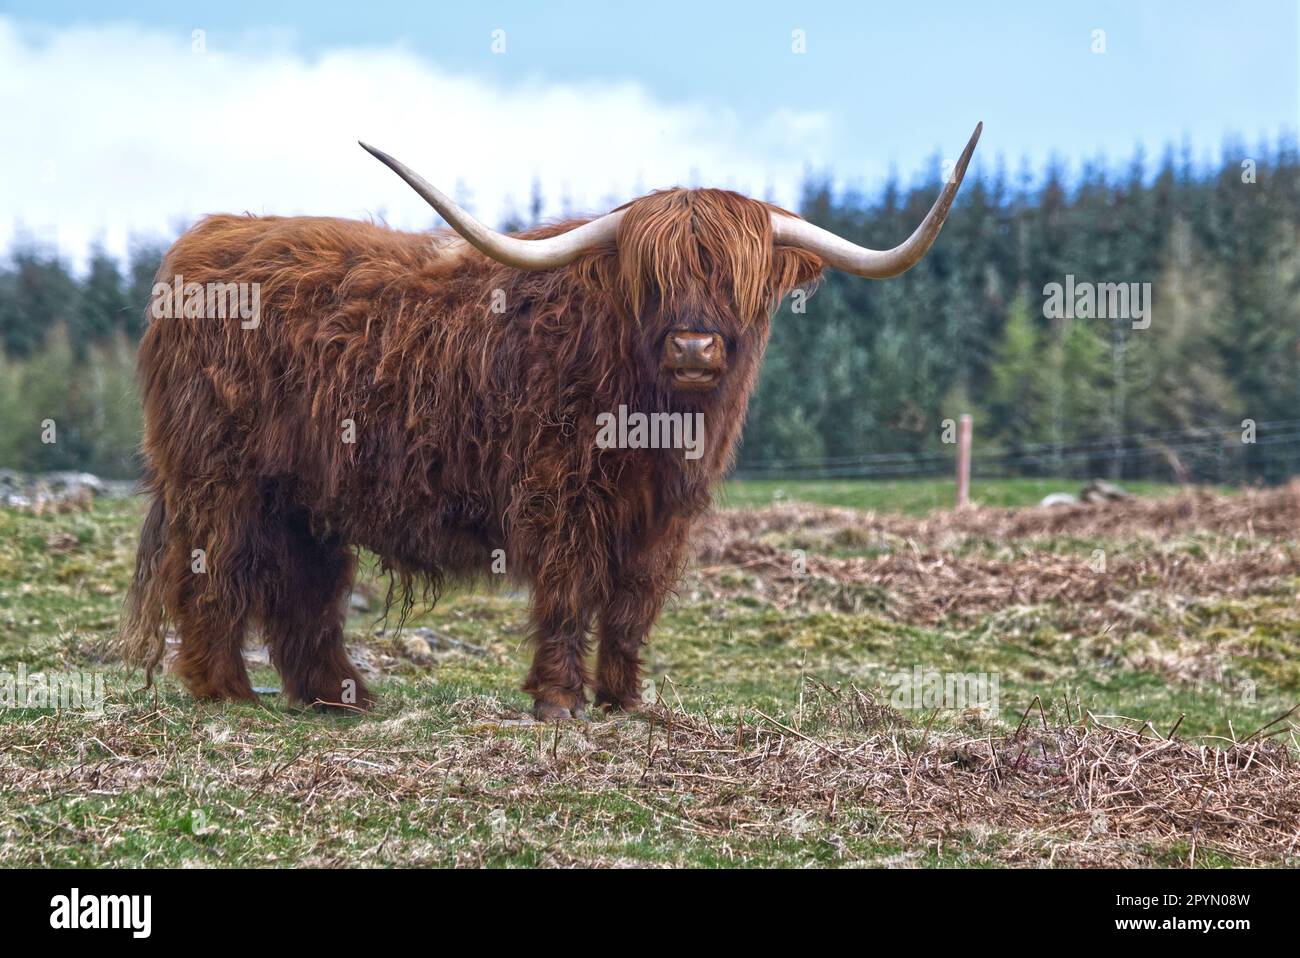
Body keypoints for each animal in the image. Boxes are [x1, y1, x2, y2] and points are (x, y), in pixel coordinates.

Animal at [121, 123, 982, 719]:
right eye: (653, 277)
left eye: (735, 279)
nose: (694, 345)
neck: (655, 423)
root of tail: (208, 238)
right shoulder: (559, 490)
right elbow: (570, 590)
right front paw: (559, 699)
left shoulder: (665, 516)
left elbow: (634, 604)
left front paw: (625, 699)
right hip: (220, 479)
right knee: (212, 575)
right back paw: (228, 691)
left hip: (306, 496)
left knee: (305, 589)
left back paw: (340, 695)